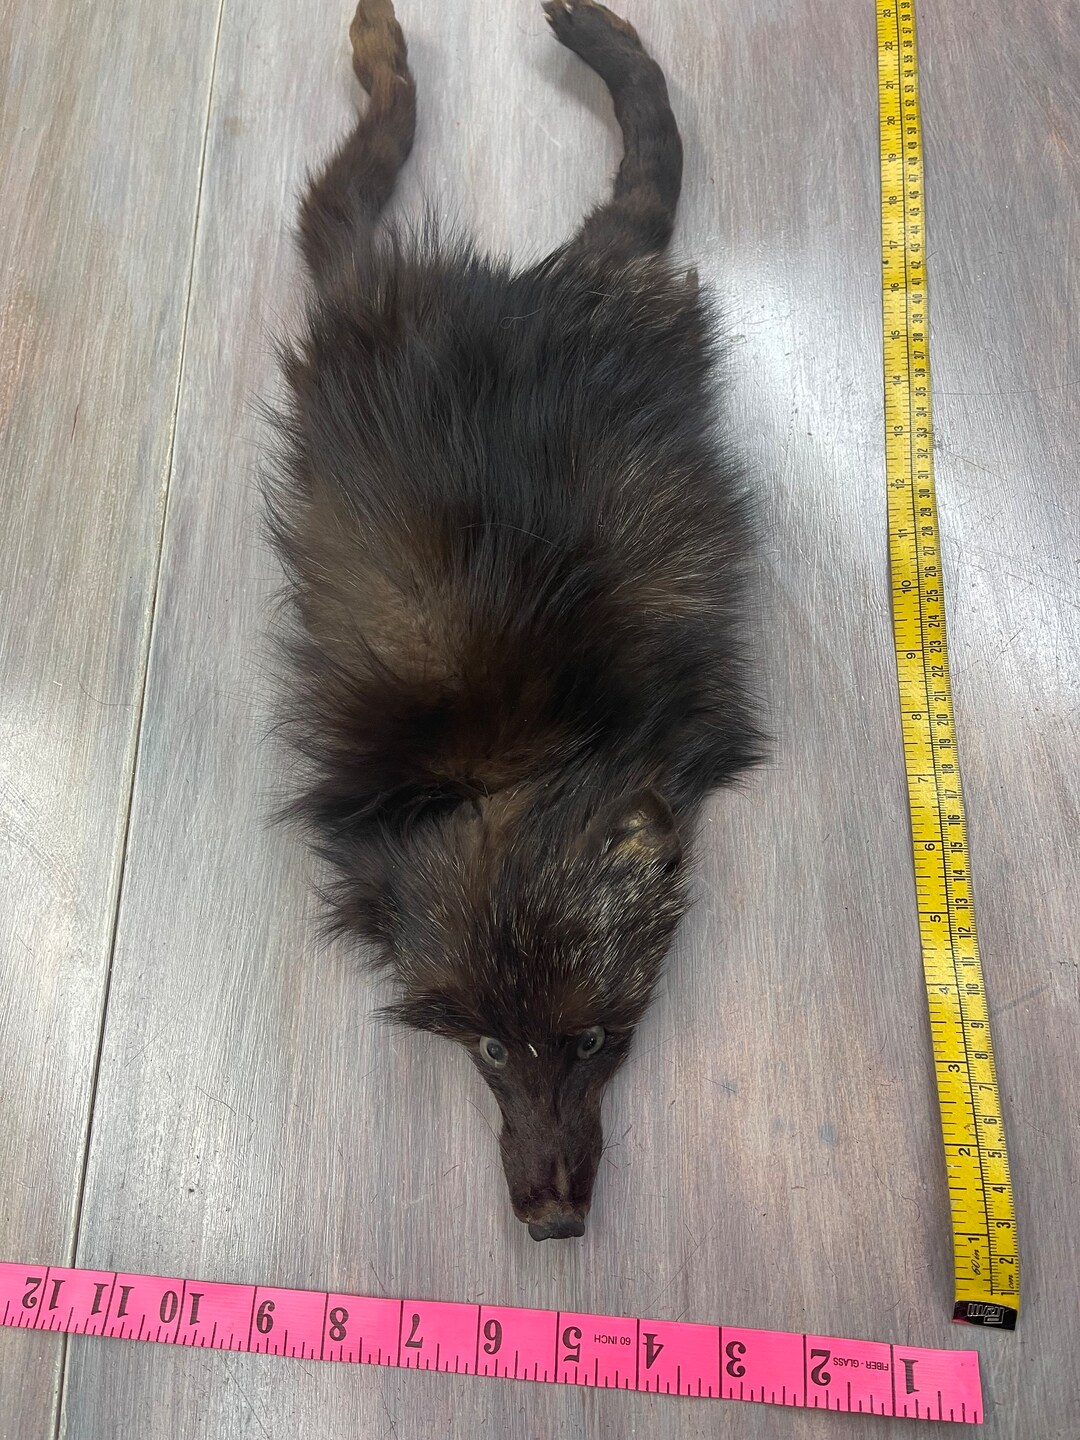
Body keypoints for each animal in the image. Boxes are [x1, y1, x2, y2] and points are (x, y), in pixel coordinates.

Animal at [265, 0, 762, 1240]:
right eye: (490, 1049)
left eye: (593, 1042)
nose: (552, 1227)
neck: (522, 762)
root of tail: (554, 284)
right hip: (361, 284)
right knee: (374, 167)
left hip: (357, 280)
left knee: (371, 168)